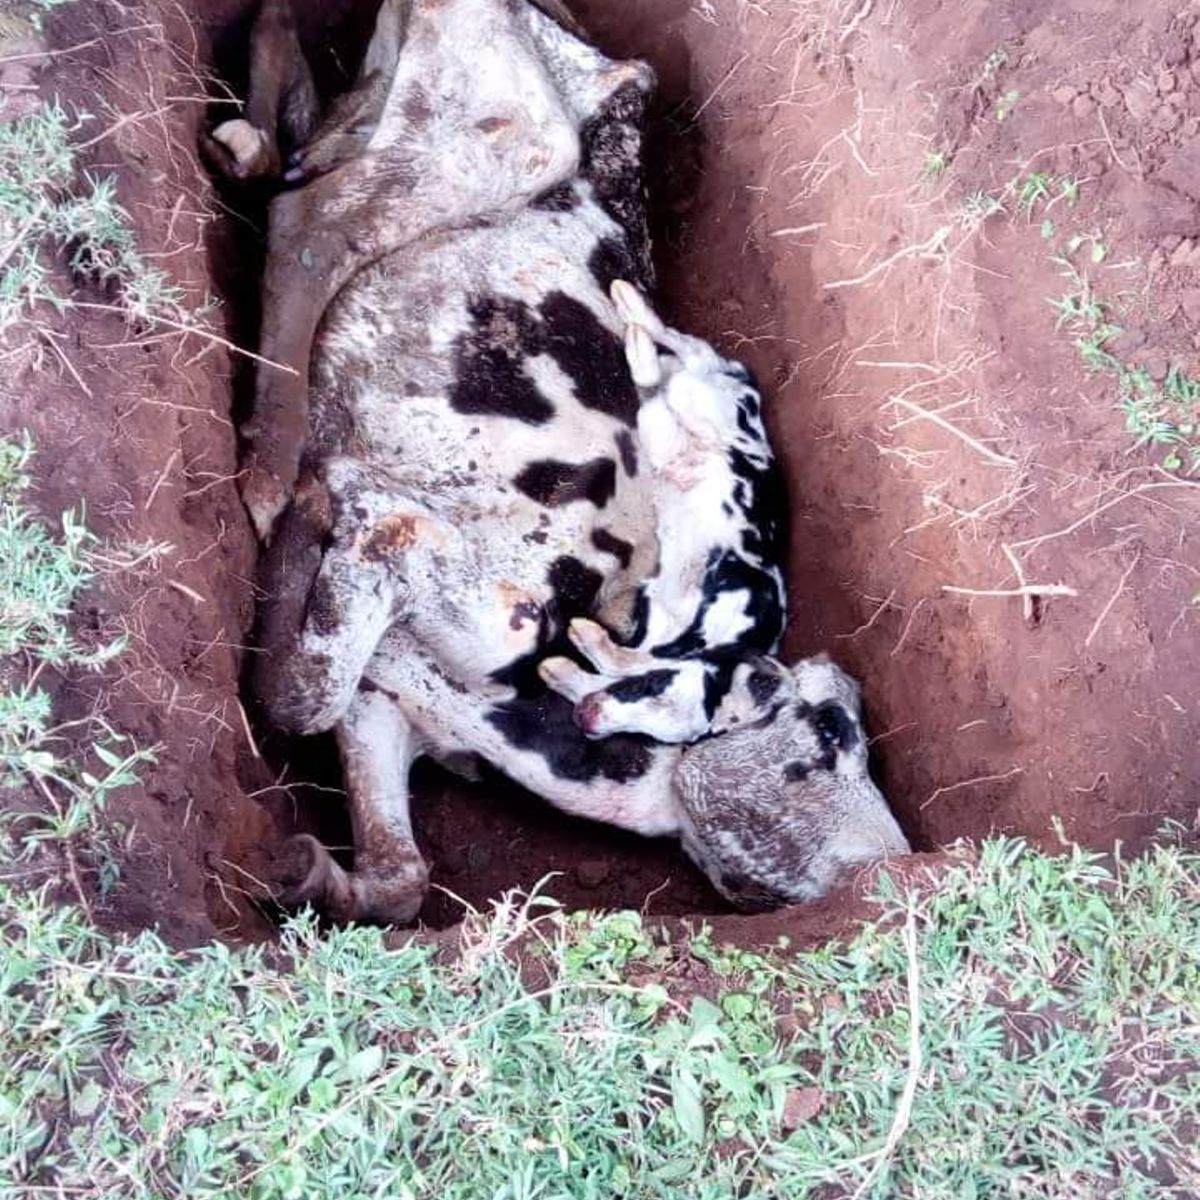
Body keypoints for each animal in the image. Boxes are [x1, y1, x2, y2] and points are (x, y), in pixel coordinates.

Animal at [211, 0, 909, 924]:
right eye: (833, 735)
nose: (895, 869)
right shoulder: (410, 543)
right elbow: (299, 696)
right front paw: (294, 529)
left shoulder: (383, 708)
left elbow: (400, 875)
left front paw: (312, 876)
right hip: (518, 127)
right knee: (316, 221)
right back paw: (268, 465)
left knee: (304, 128)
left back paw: (253, 135)